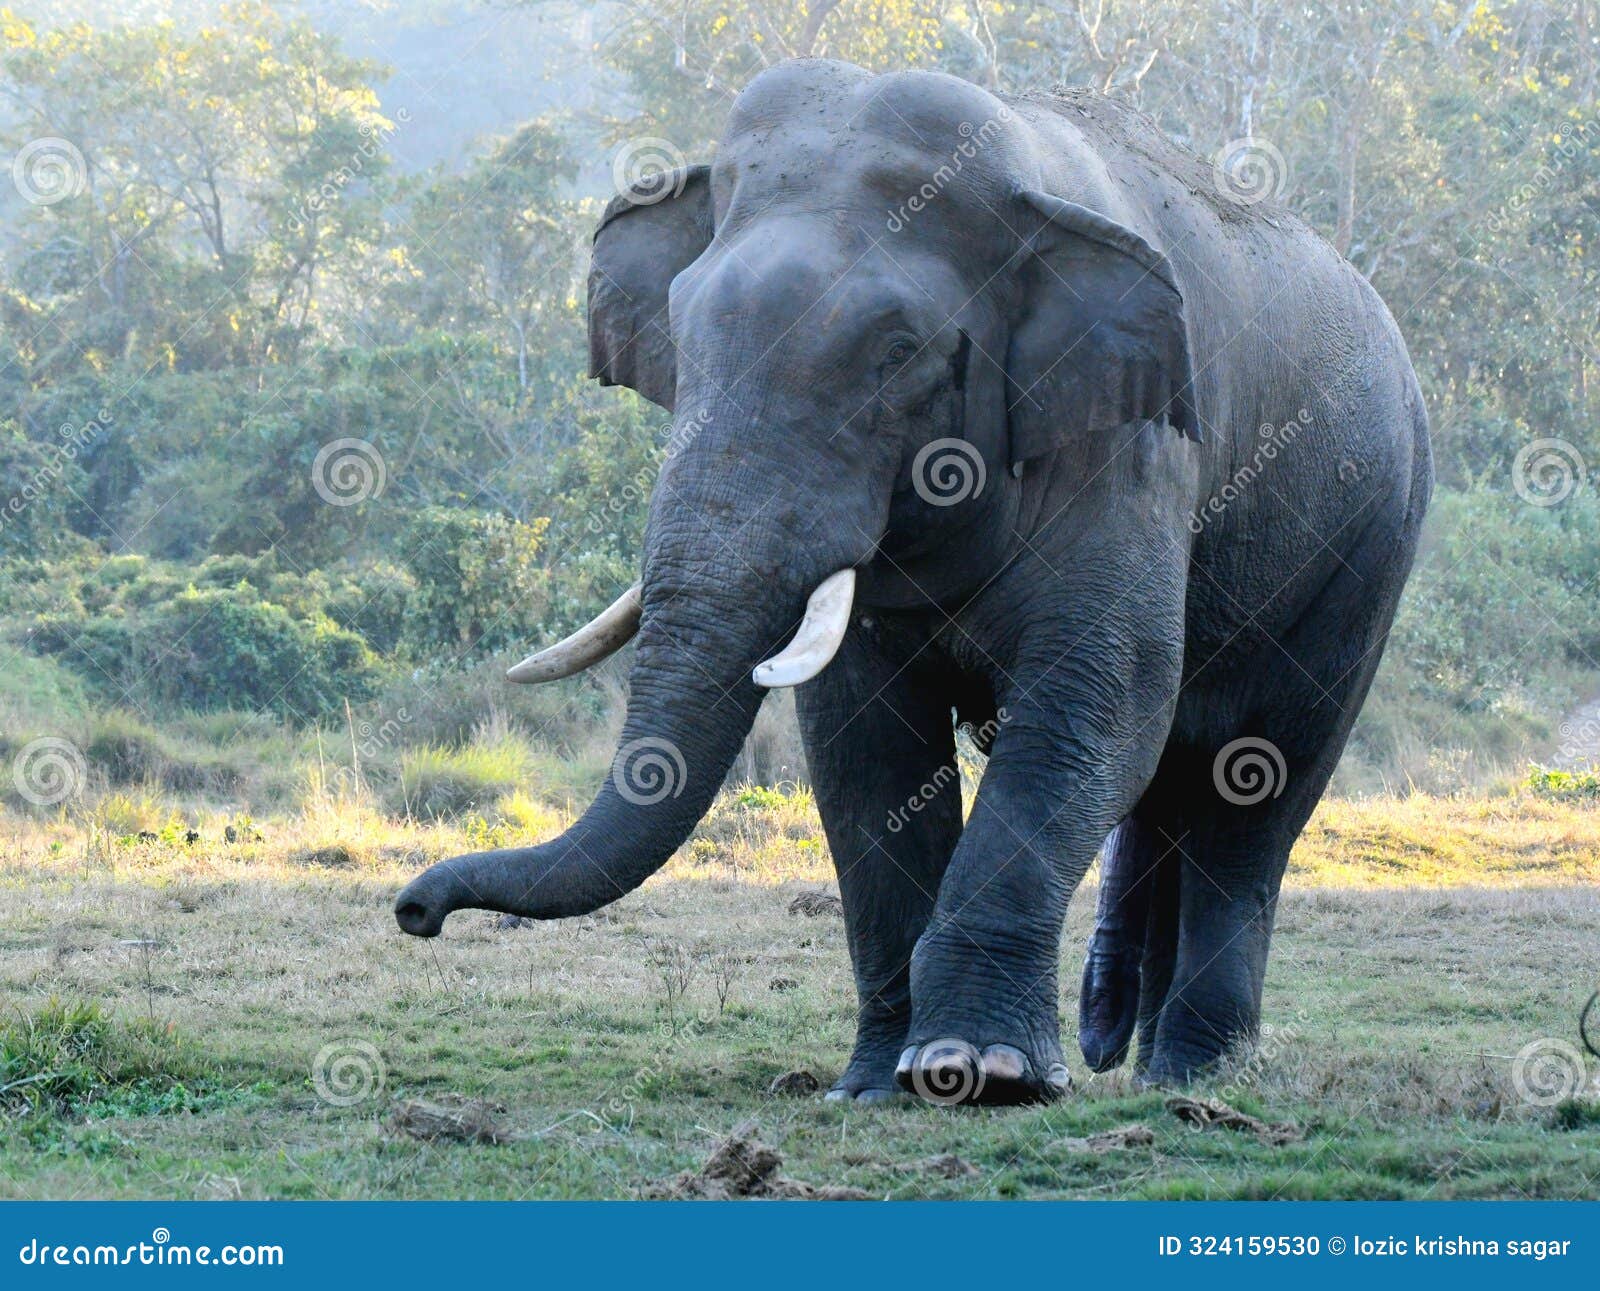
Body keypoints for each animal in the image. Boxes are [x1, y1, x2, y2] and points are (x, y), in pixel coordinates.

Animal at [395, 58, 1432, 1105]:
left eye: (896, 353)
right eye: (680, 337)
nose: (414, 909)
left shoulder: (1131, 452)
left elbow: (1095, 702)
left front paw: (983, 1069)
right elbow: (864, 746)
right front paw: (877, 1084)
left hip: (1370, 545)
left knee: (1256, 784)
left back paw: (1194, 1074)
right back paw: (1139, 1060)